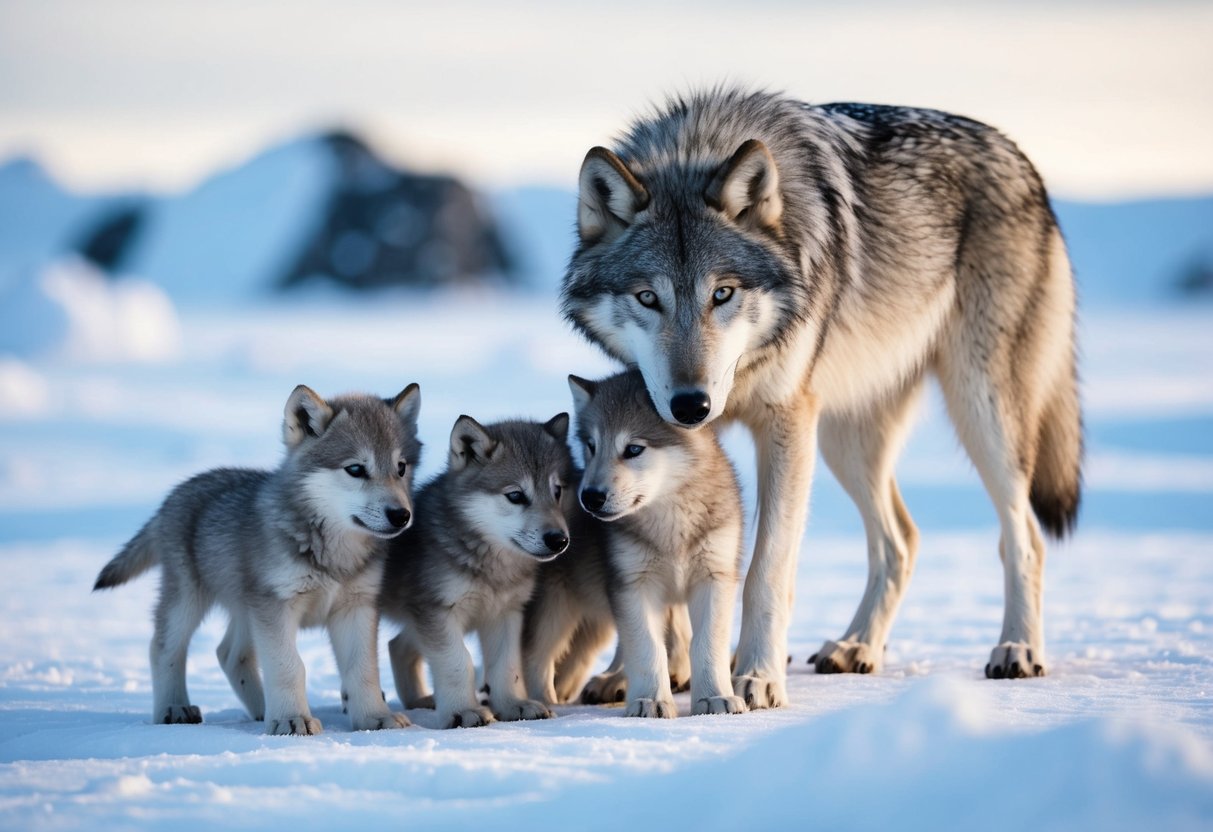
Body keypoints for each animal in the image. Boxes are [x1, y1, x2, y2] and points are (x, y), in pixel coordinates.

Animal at [93, 383, 422, 734]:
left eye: (401, 467)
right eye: (356, 469)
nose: (401, 515)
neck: (333, 553)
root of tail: (176, 493)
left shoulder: (356, 607)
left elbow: (363, 670)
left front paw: (375, 718)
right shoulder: (276, 606)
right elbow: (290, 666)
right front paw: (293, 719)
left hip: (245, 610)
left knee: (228, 654)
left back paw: (263, 710)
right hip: (188, 599)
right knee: (164, 648)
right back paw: (175, 708)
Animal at [378, 413, 574, 728]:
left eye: (556, 491)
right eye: (516, 495)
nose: (559, 540)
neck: (493, 566)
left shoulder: (506, 613)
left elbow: (506, 666)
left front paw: (513, 706)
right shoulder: (438, 611)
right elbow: (459, 663)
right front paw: (462, 712)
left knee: (396, 646)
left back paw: (419, 701)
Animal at [525, 370, 745, 718]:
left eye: (633, 449)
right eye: (591, 446)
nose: (590, 497)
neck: (670, 524)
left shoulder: (714, 578)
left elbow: (706, 644)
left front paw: (714, 698)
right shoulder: (632, 586)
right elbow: (648, 649)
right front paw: (651, 700)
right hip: (555, 611)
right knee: (535, 661)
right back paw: (545, 706)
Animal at [561, 88, 1083, 703]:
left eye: (722, 293)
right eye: (648, 298)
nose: (692, 405)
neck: (698, 147)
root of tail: (1020, 159)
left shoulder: (786, 425)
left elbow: (765, 571)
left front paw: (757, 677)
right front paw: (639, 674)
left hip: (981, 413)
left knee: (1023, 537)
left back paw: (1018, 648)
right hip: (845, 441)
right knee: (902, 541)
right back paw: (858, 646)